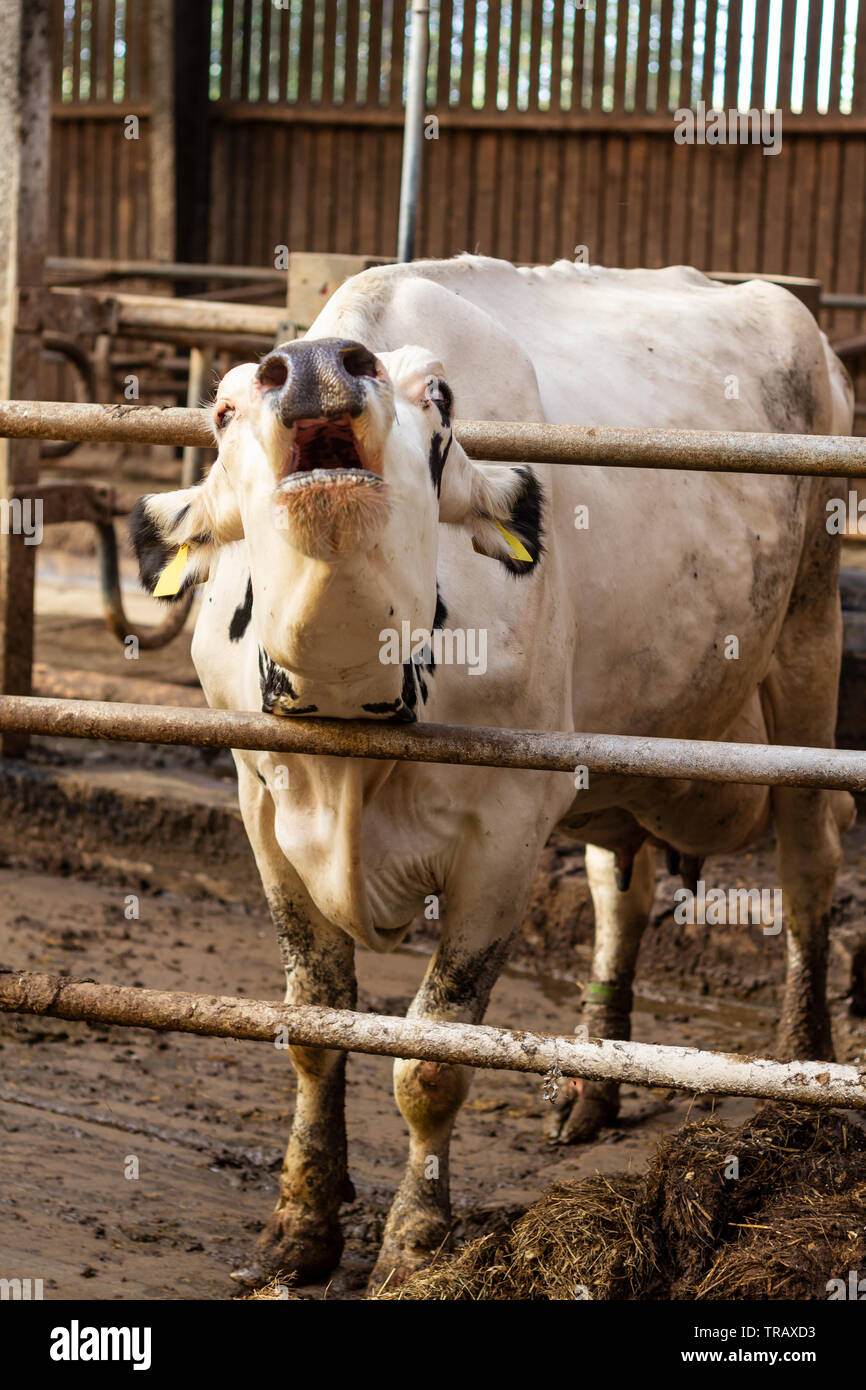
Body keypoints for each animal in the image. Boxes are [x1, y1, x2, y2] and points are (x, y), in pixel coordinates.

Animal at [131, 255, 855, 1291]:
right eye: (224, 407)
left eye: (439, 398)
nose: (315, 366)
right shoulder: (264, 812)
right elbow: (315, 1027)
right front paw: (299, 1225)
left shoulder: (503, 838)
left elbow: (432, 1056)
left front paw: (414, 1238)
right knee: (620, 893)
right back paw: (591, 1080)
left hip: (808, 639)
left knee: (807, 868)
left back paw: (800, 1084)